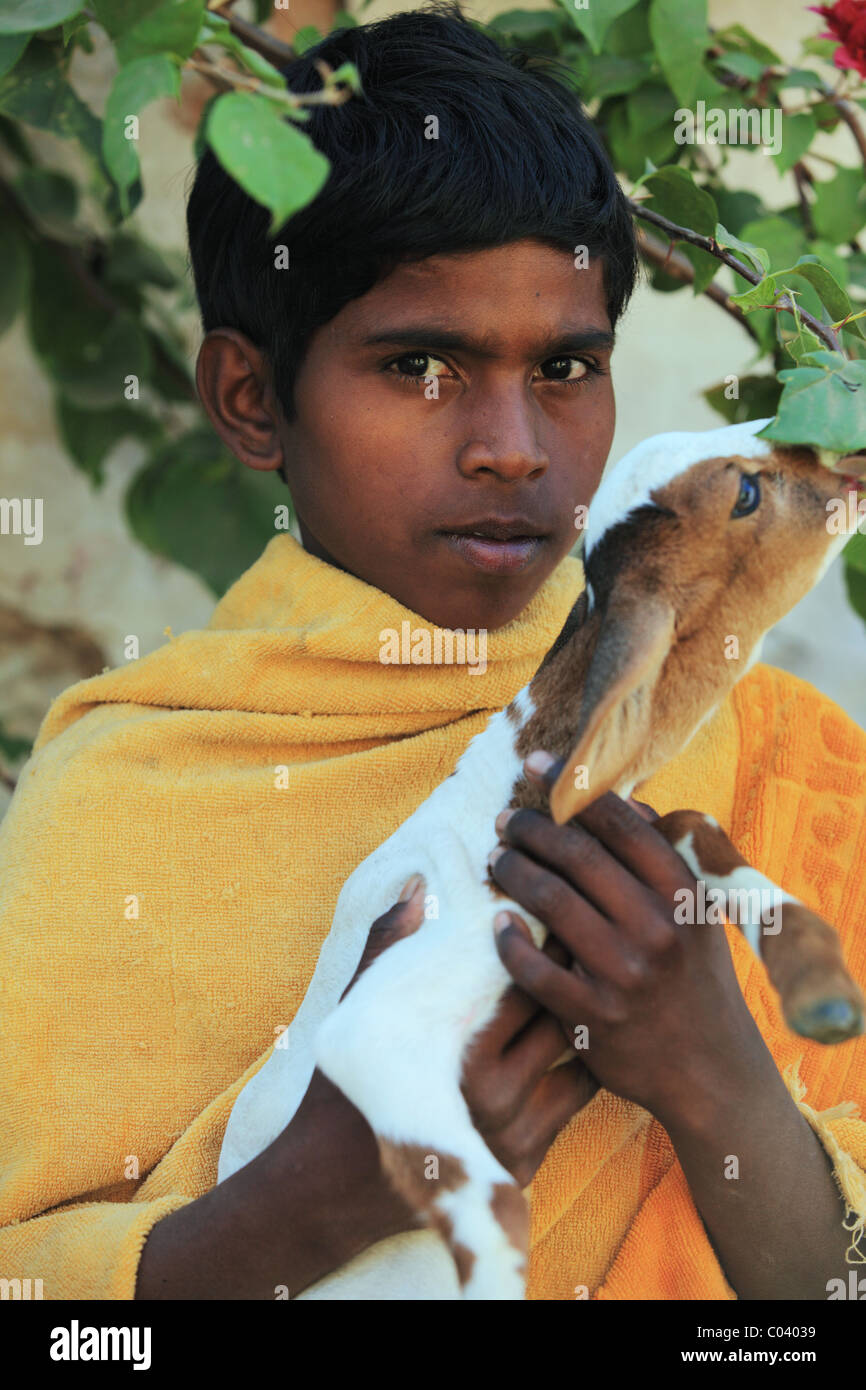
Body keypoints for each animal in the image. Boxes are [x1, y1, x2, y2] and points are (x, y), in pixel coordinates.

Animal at [218, 417, 866, 1300]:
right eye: (745, 492)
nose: (855, 472)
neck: (518, 789)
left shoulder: (628, 823)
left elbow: (700, 830)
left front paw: (823, 993)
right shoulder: (381, 1019)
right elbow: (487, 1199)